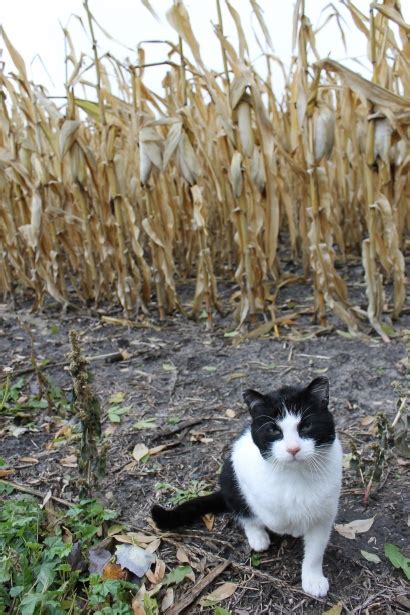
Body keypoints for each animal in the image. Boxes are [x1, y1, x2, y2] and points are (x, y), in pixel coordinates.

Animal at [151, 378, 342, 600]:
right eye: (274, 430)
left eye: (307, 425)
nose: (293, 449)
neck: (295, 477)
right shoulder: (241, 469)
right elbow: (269, 512)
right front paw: (286, 525)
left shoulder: (326, 511)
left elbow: (316, 551)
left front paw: (313, 578)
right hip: (228, 476)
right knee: (242, 510)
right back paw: (258, 536)